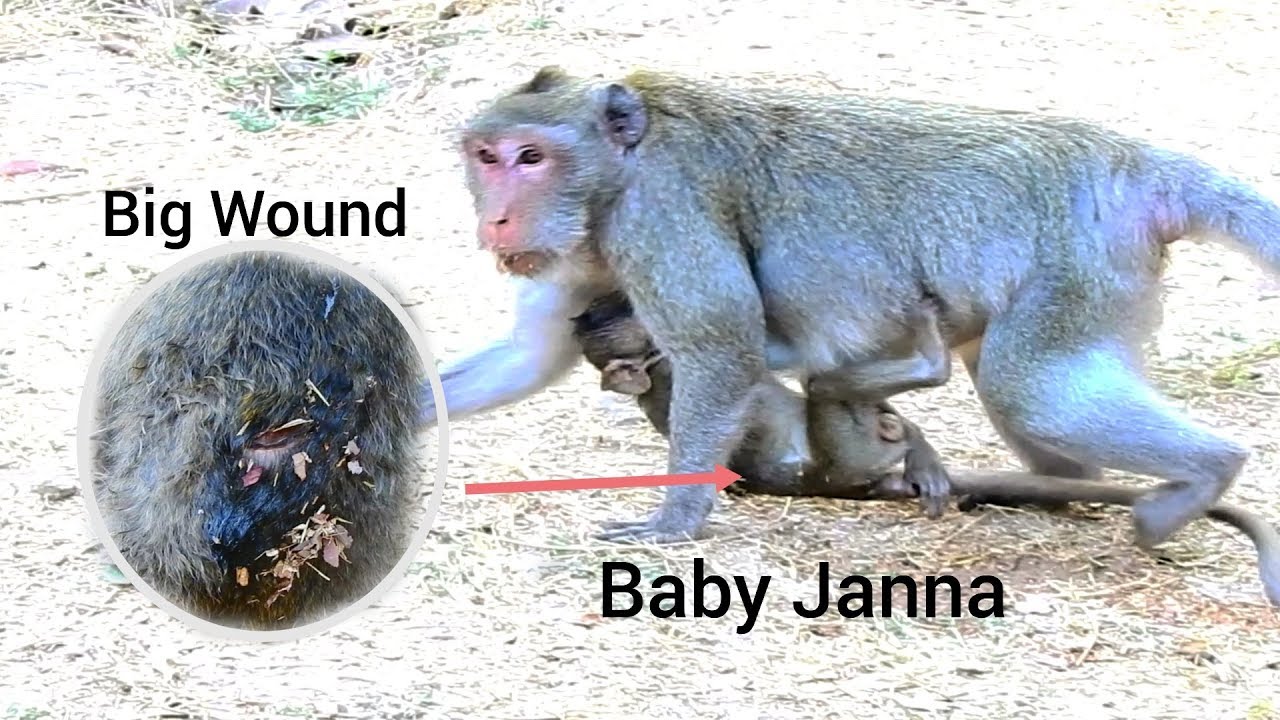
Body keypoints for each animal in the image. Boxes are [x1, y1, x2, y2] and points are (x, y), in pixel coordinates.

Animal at [443, 65, 1280, 550]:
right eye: (488, 158)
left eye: (532, 158)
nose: (498, 219)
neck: (621, 168)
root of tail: (1137, 168)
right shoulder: (579, 246)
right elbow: (528, 357)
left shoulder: (662, 207)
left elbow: (721, 350)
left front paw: (672, 522)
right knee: (1024, 398)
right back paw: (1063, 485)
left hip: (1078, 261)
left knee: (1031, 390)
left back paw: (1208, 474)